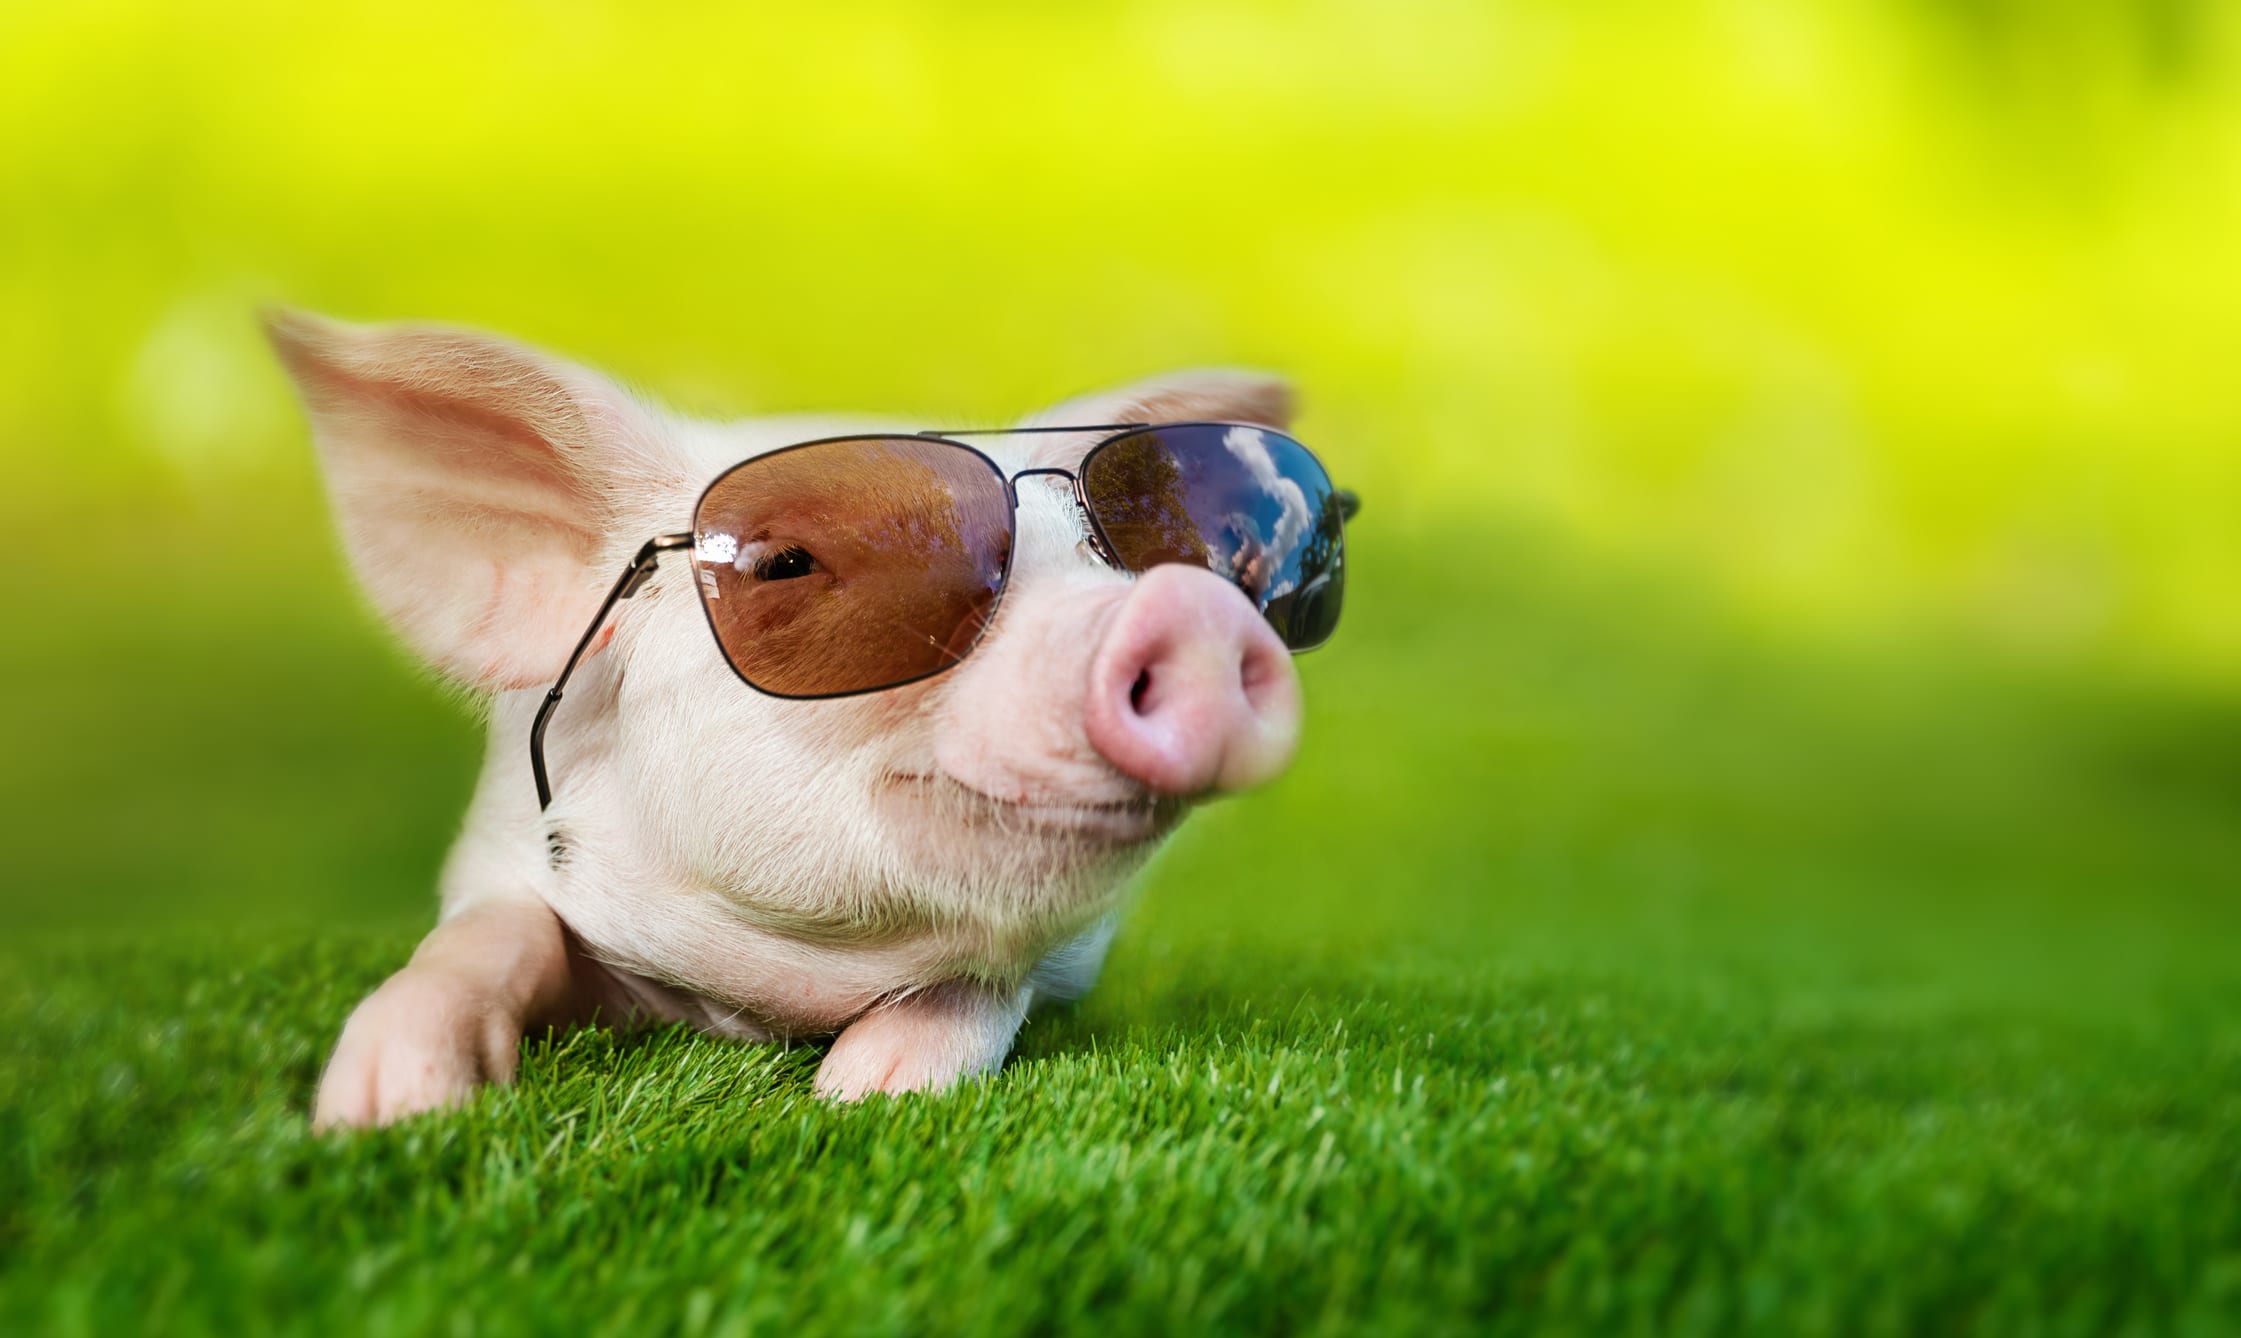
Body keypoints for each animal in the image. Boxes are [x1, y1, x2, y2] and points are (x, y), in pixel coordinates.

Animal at [265, 310, 1308, 1128]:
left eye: (1114, 556)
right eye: (786, 566)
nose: (1194, 607)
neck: (756, 1008)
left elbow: (982, 979)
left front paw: (866, 1095)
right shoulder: (502, 854)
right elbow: (491, 931)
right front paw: (384, 1110)